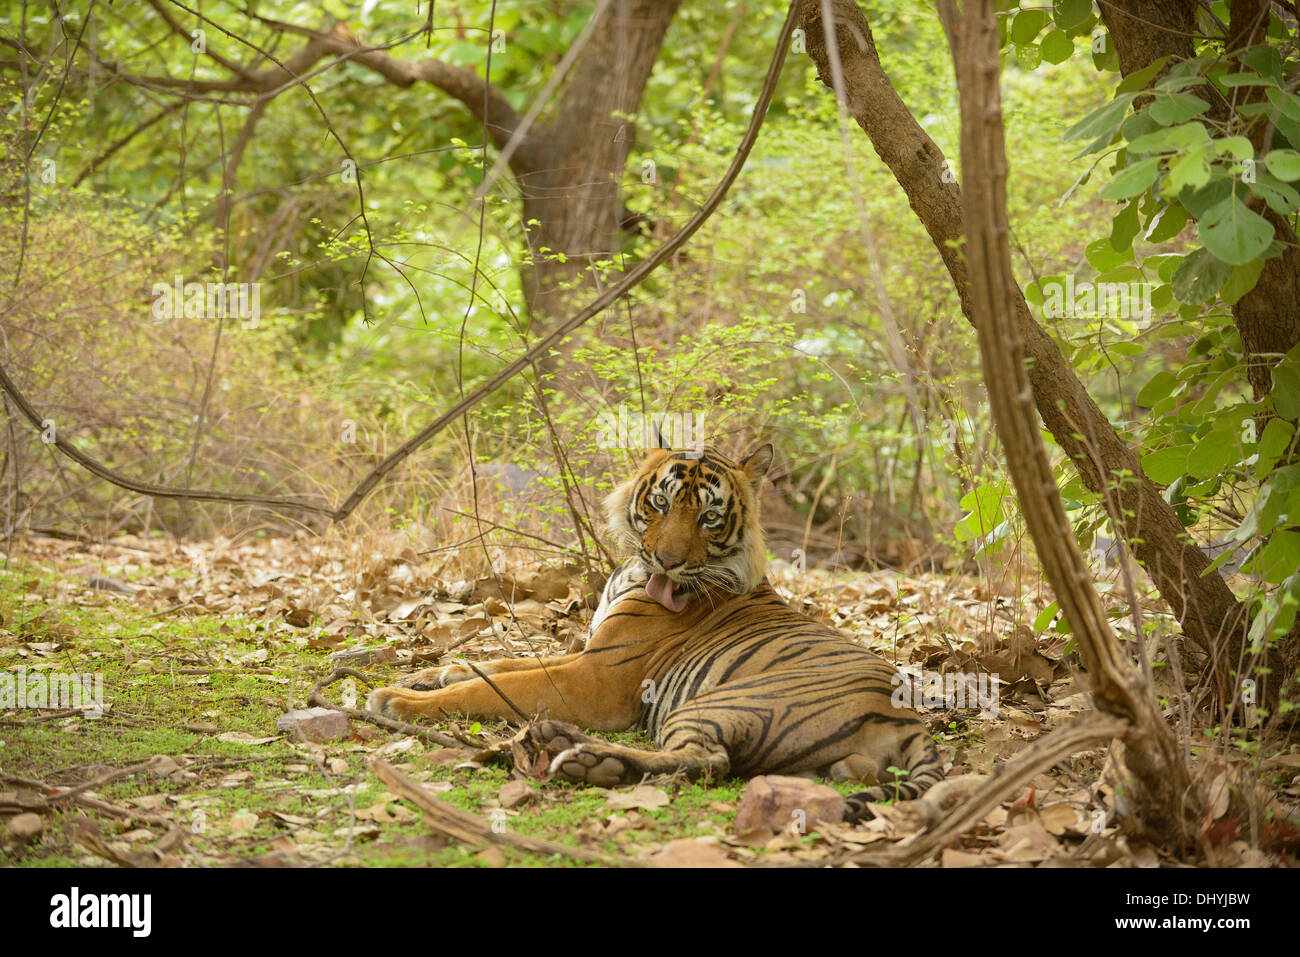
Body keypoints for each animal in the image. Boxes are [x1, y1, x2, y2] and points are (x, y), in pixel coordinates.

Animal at [367, 443, 943, 820]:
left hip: (725, 702)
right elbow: (499, 666)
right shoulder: (587, 653)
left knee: (705, 761)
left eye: (710, 518)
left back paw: (590, 762)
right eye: (660, 503)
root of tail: (909, 716)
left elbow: (499, 686)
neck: (632, 574)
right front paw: (431, 674)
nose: (668, 560)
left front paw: (398, 701)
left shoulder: (595, 679)